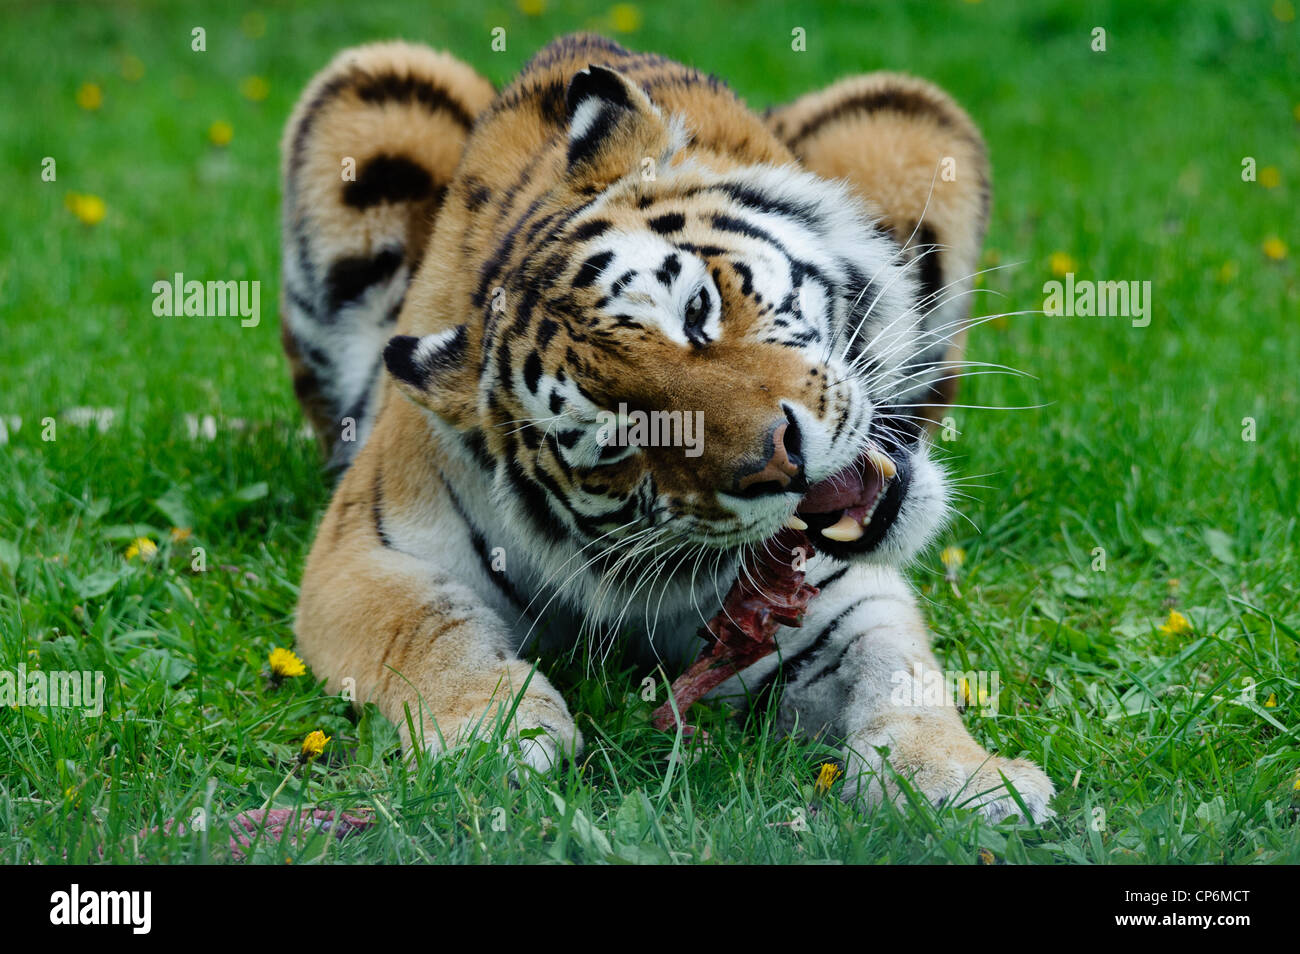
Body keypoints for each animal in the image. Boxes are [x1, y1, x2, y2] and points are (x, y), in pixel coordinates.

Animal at [280, 33, 1054, 821]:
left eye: (698, 311)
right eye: (619, 440)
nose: (784, 459)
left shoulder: (835, 598)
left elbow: (895, 669)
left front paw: (968, 780)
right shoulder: (359, 554)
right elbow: (427, 630)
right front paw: (495, 728)